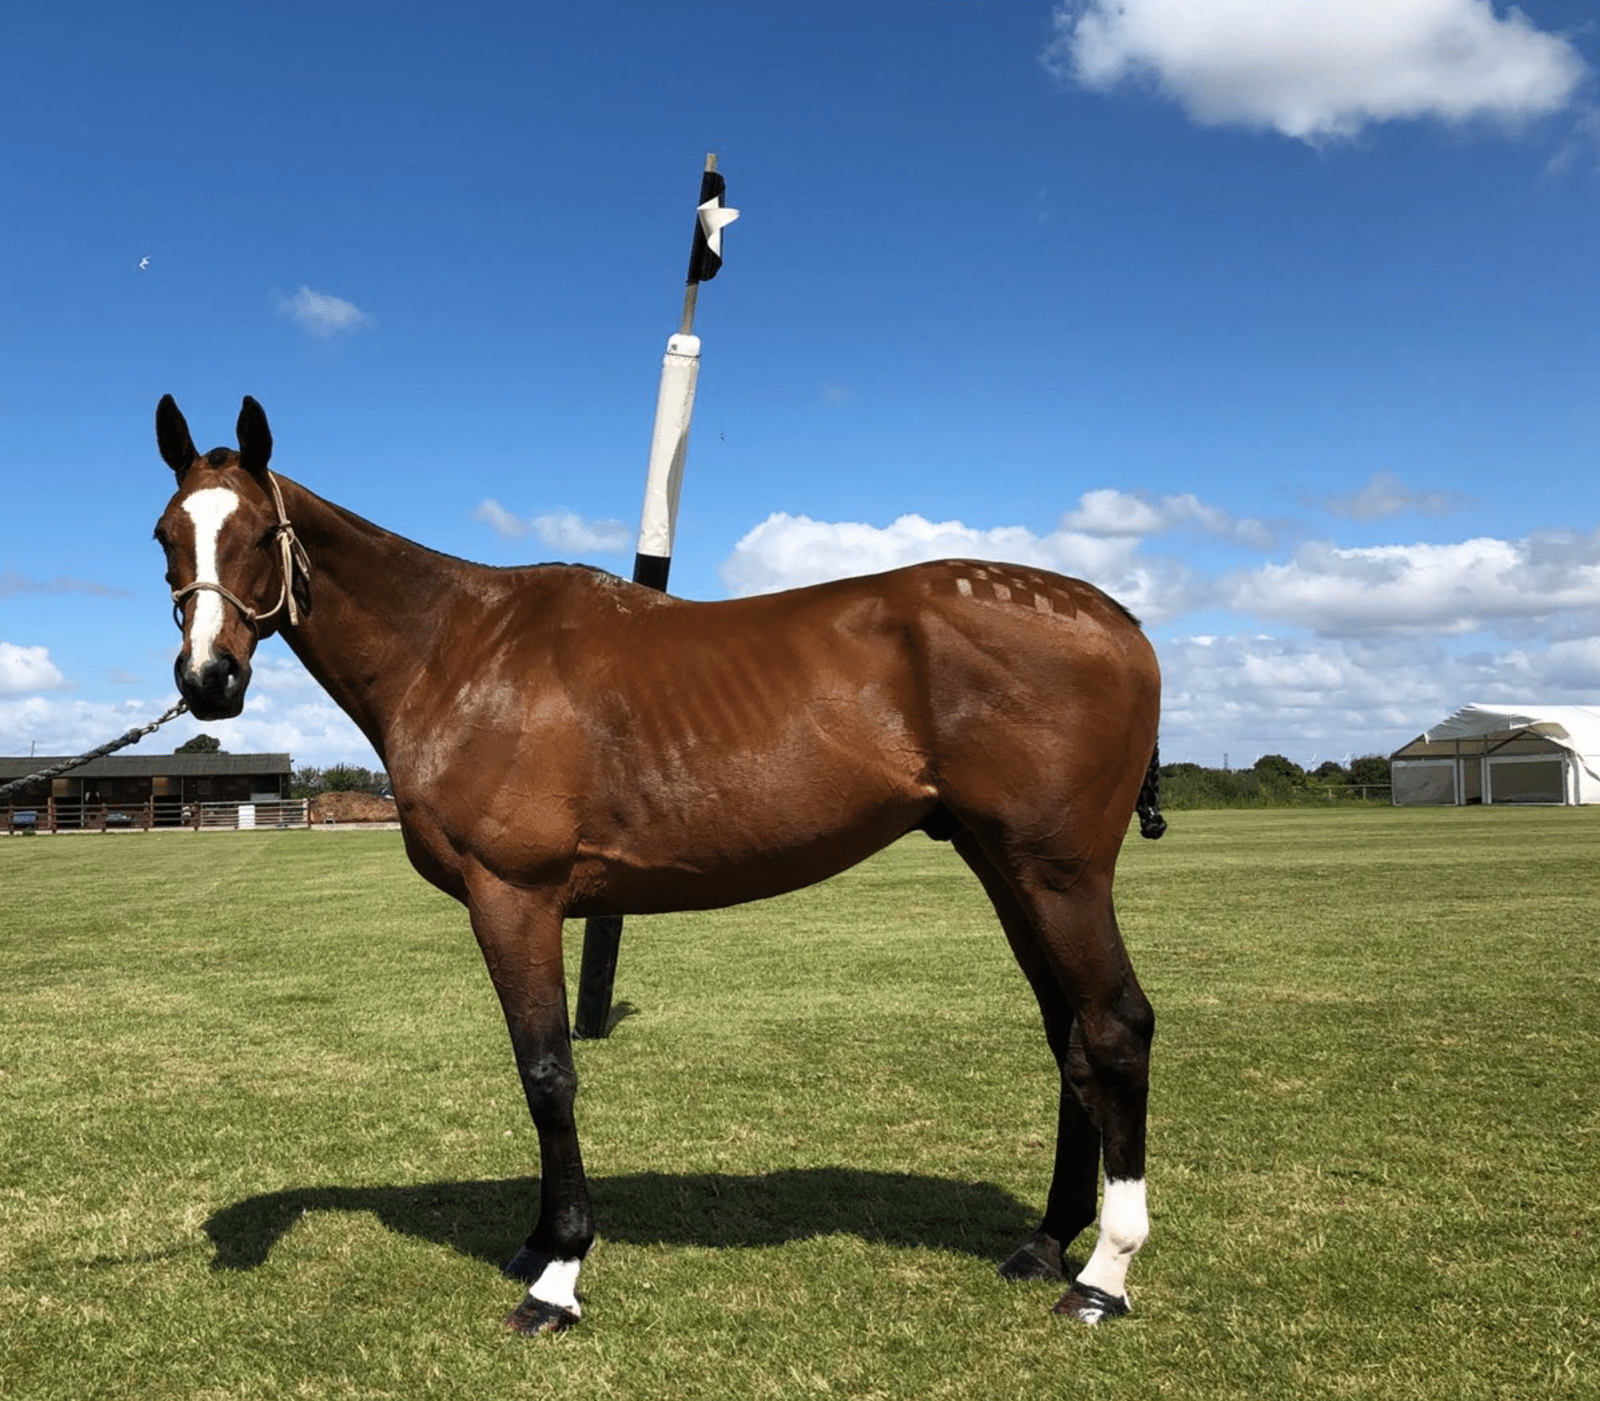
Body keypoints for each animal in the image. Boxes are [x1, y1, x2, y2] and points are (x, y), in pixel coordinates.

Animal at [152, 394, 1167, 1333]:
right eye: (167, 534)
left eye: (257, 533)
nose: (208, 679)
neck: (459, 648)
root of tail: (1116, 619)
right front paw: (538, 1241)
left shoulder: (513, 897)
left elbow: (547, 1070)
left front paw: (557, 1273)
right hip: (1005, 870)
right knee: (1072, 1038)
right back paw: (1045, 1242)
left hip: (1059, 876)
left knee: (1116, 1027)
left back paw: (1102, 1274)